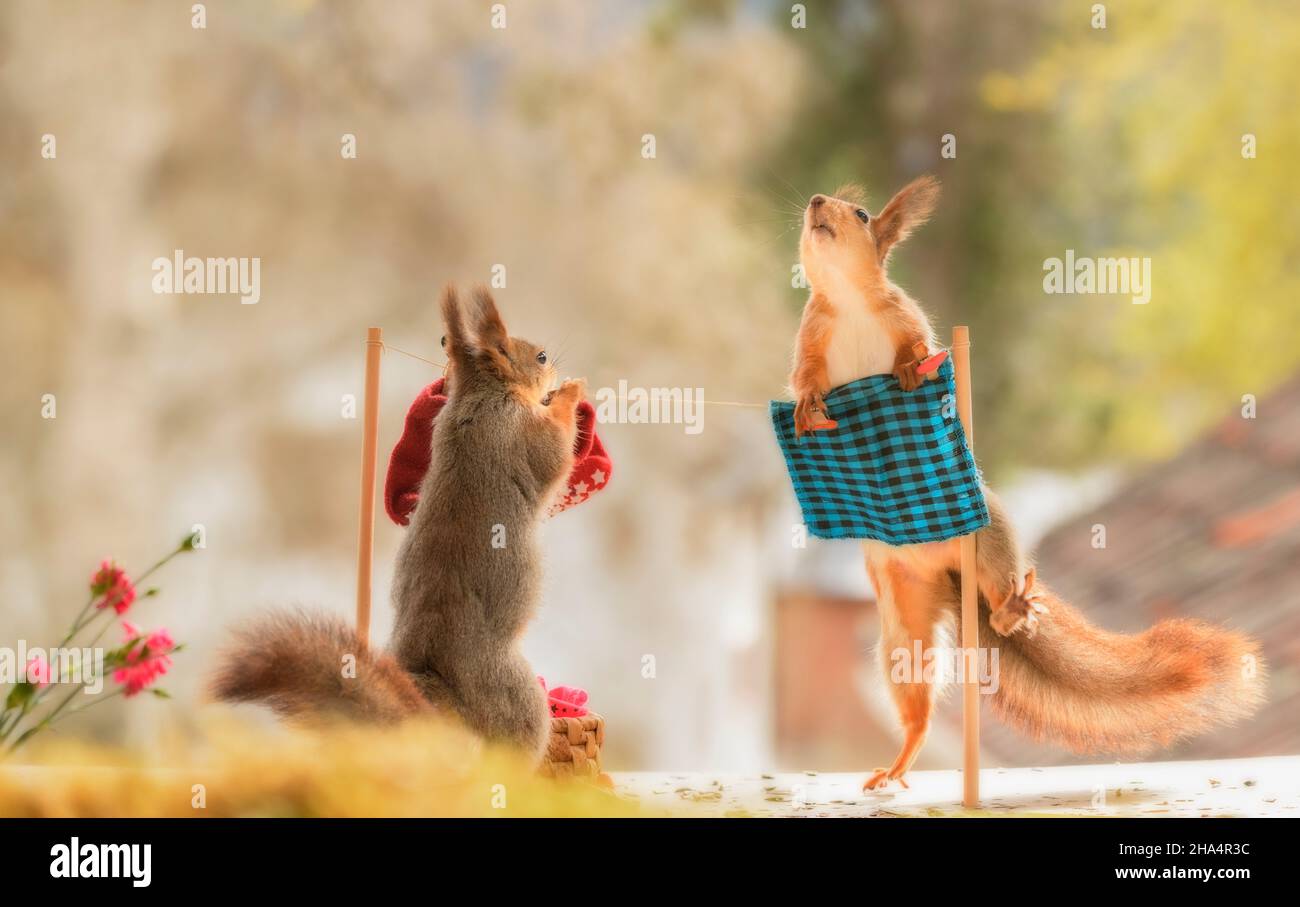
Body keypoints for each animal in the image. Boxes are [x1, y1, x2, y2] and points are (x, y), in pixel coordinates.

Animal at [211, 285, 586, 760]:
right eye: (540, 356)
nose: (555, 368)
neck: (480, 397)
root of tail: (438, 704)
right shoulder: (521, 434)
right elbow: (555, 453)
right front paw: (571, 392)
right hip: (516, 700)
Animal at [790, 177, 1266, 791]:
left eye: (863, 213)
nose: (815, 203)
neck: (847, 298)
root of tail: (946, 575)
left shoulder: (905, 315)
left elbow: (920, 342)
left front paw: (909, 367)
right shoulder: (810, 336)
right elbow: (803, 376)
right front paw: (806, 405)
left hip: (988, 539)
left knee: (996, 592)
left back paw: (1009, 611)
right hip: (902, 613)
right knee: (914, 688)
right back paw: (901, 757)